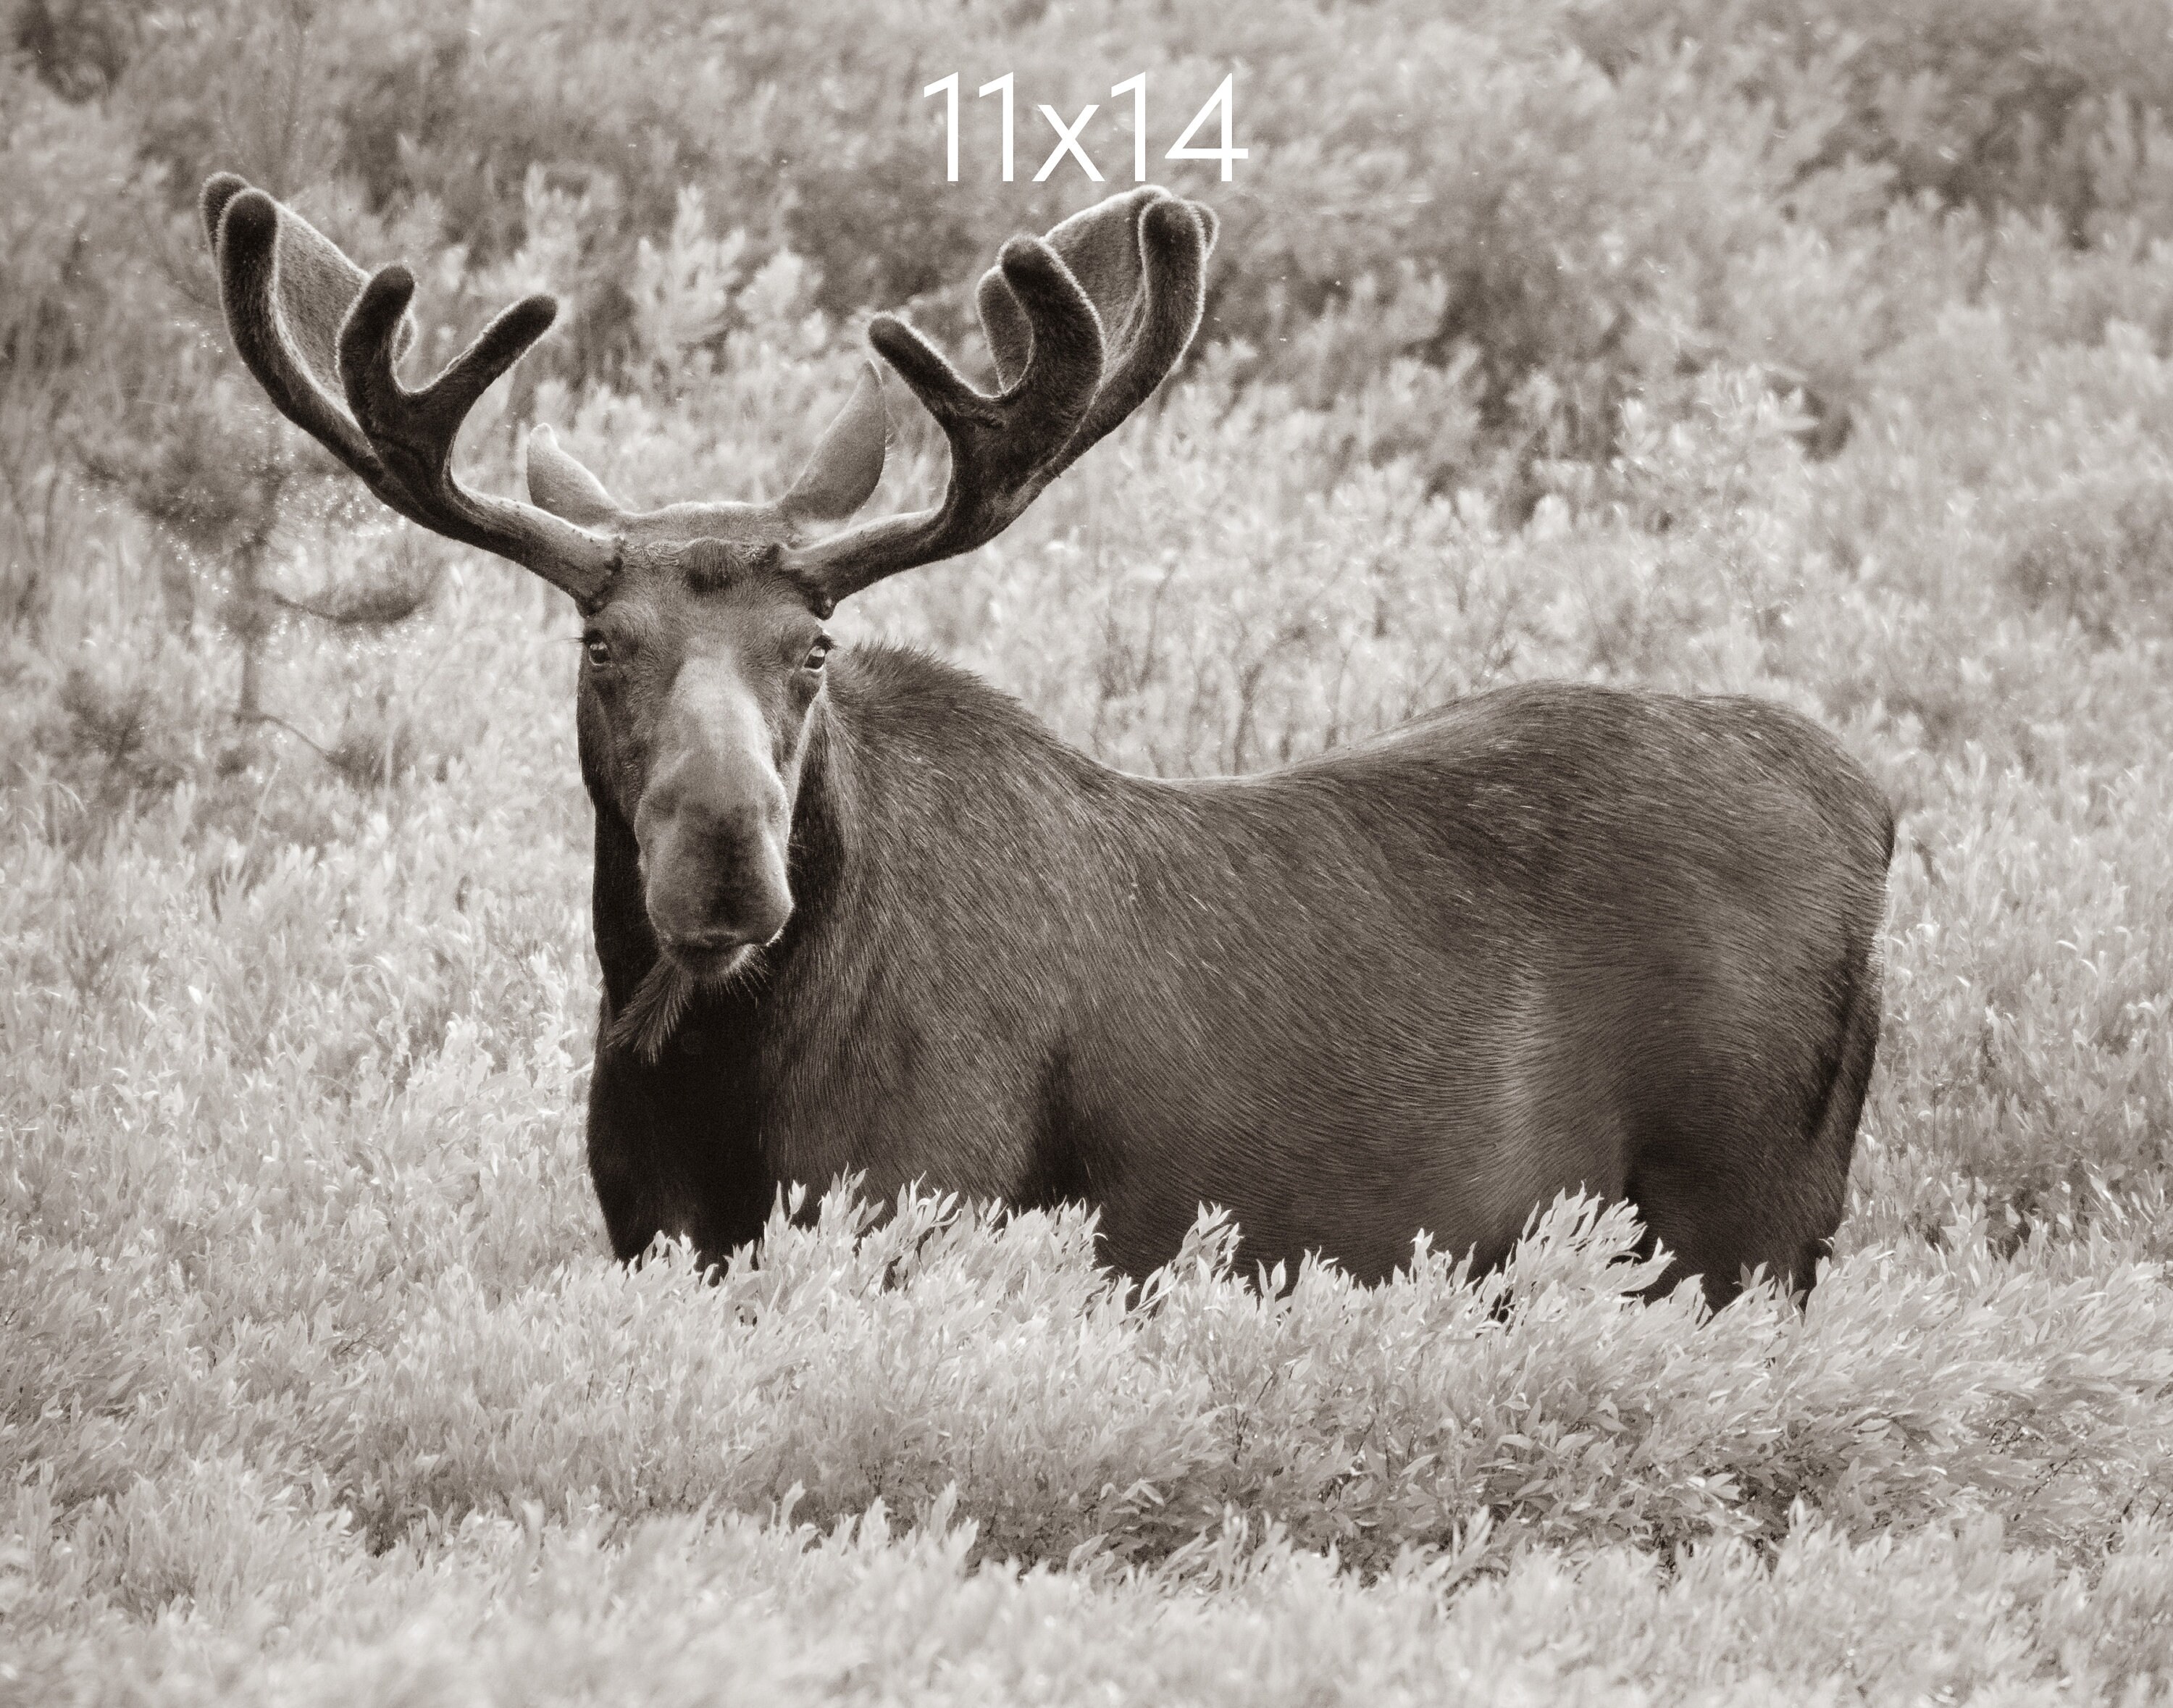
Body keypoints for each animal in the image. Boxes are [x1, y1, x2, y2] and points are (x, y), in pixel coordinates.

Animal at [200, 171, 1893, 1307]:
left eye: (814, 647)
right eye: (601, 642)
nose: (729, 866)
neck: (722, 1069)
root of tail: (1882, 817)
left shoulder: (916, 1205)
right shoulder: (655, 1235)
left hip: (1746, 1224)